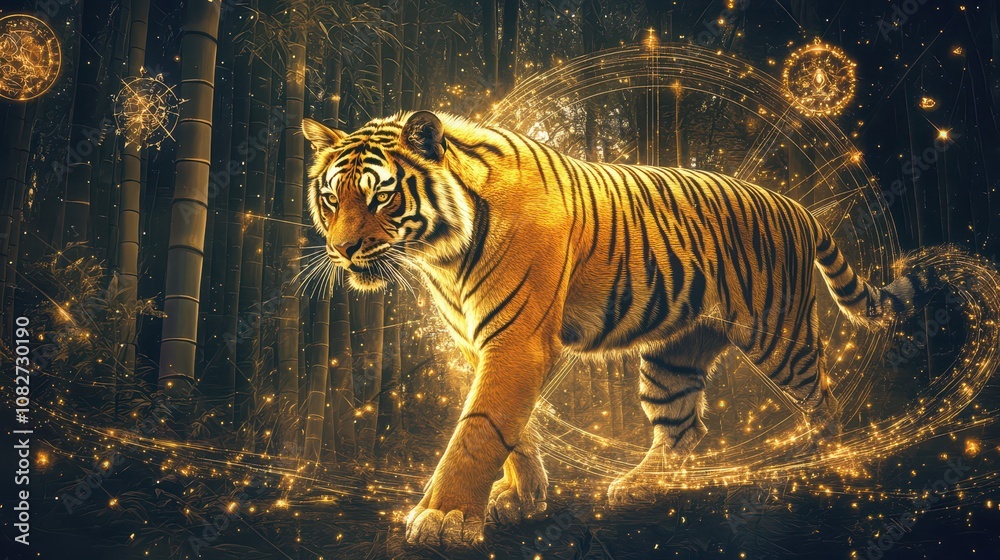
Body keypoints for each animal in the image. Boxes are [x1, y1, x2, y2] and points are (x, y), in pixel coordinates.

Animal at [302, 110, 938, 548]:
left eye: (382, 197)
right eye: (332, 198)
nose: (342, 249)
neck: (440, 255)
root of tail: (798, 206)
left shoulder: (517, 340)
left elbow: (479, 430)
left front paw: (443, 519)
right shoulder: (479, 343)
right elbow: (513, 429)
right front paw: (525, 498)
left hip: (779, 335)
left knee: (824, 397)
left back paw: (834, 470)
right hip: (672, 354)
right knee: (683, 428)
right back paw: (640, 487)